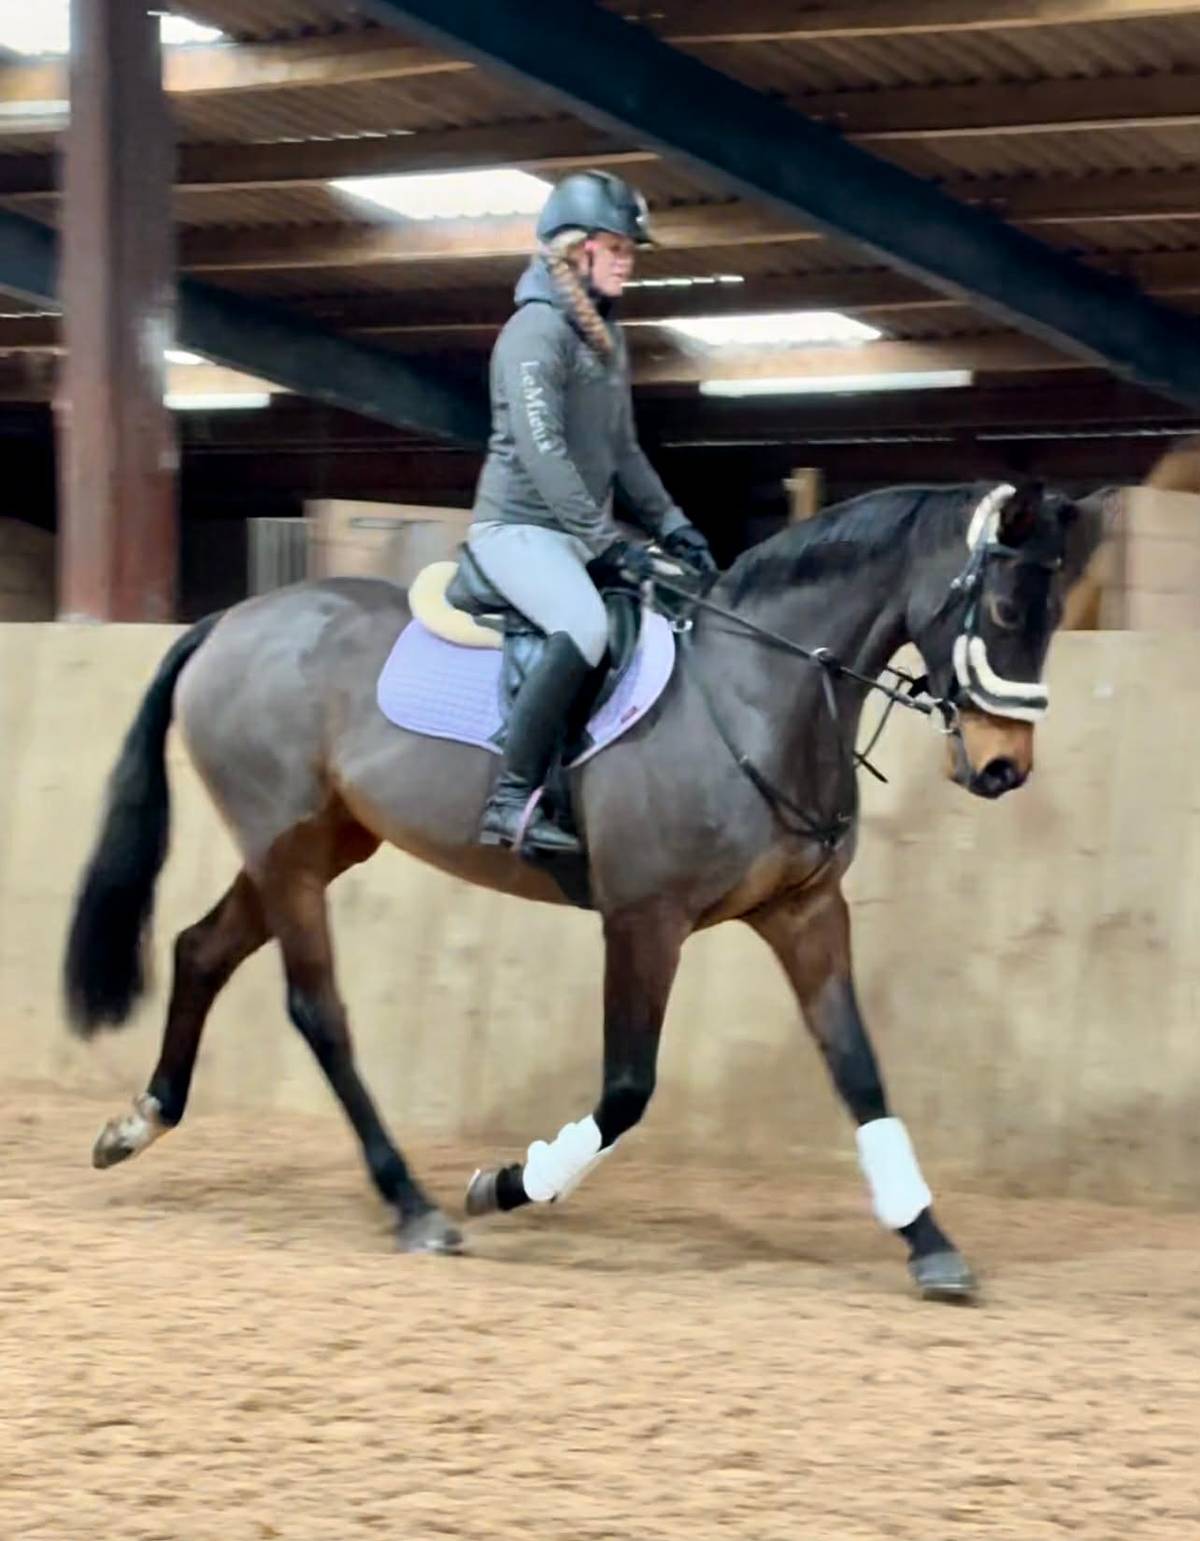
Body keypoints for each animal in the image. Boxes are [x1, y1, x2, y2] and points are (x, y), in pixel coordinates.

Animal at [62, 477, 1108, 1301]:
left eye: (1057, 617)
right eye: (1005, 612)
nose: (1003, 768)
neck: (757, 692)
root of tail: (229, 622)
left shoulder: (804, 912)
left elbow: (858, 1069)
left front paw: (929, 1242)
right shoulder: (645, 920)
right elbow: (628, 1089)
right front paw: (510, 1182)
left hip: (320, 843)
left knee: (200, 948)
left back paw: (138, 1122)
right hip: (287, 852)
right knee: (317, 1010)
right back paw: (415, 1204)